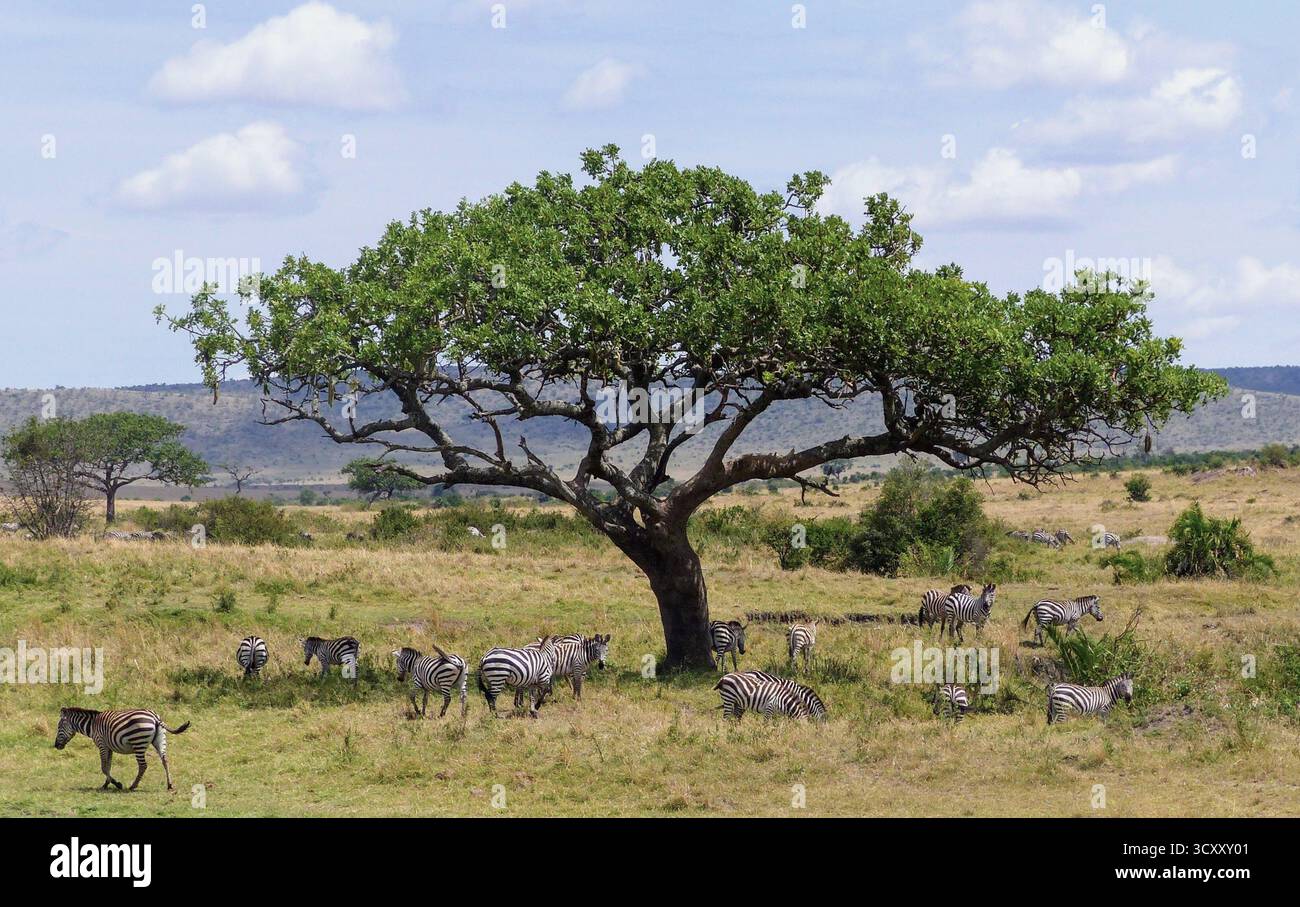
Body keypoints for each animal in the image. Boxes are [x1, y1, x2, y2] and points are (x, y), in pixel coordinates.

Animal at [53, 707, 190, 791]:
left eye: (59, 727)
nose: (56, 746)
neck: (92, 725)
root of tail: (155, 717)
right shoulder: (109, 747)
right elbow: (108, 766)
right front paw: (106, 784)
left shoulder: (102, 744)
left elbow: (103, 767)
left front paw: (117, 784)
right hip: (160, 740)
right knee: (165, 760)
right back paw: (170, 785)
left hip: (138, 742)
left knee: (143, 765)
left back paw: (133, 786)